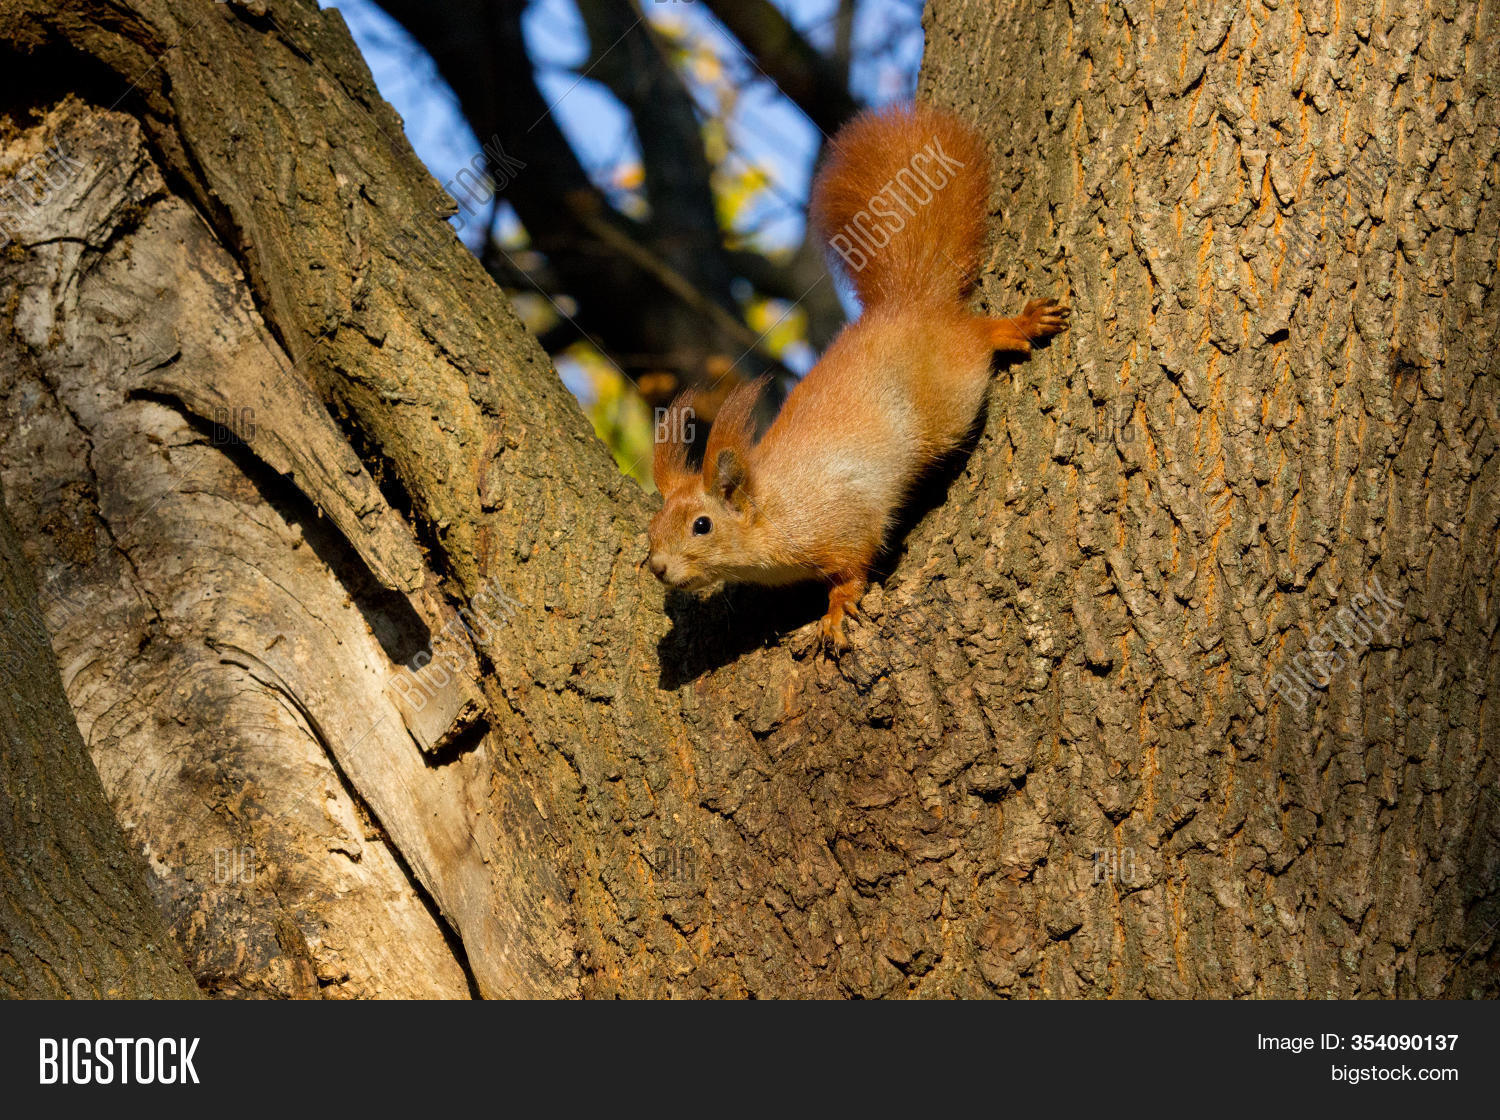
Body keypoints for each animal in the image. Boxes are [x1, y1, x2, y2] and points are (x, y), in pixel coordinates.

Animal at [646, 102, 1069, 648]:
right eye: (653, 525)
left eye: (702, 525)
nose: (656, 567)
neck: (772, 510)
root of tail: (909, 304)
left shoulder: (843, 522)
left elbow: (854, 563)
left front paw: (835, 610)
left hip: (952, 394)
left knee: (975, 337)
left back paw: (1017, 325)